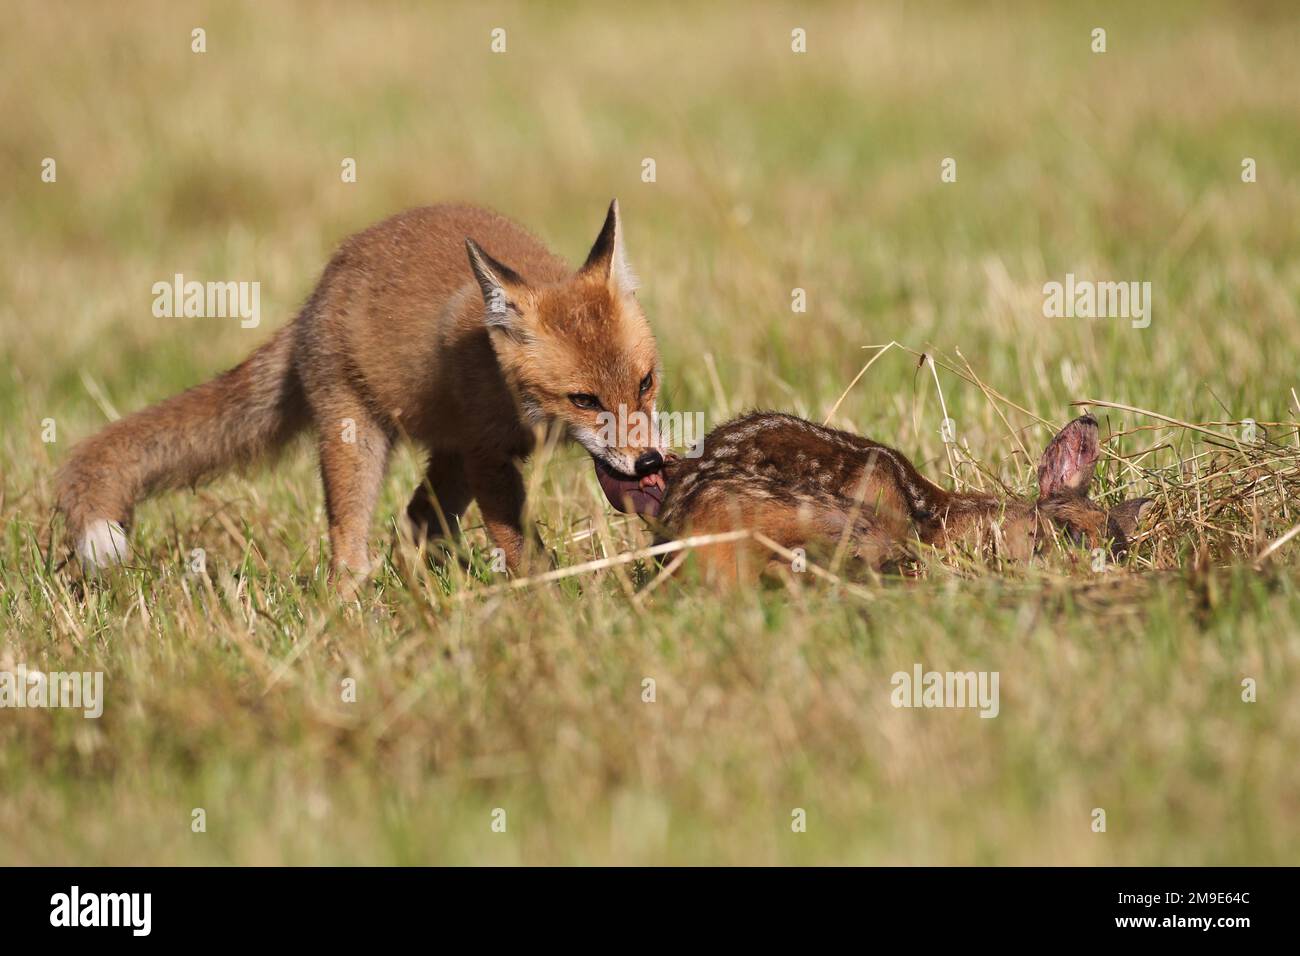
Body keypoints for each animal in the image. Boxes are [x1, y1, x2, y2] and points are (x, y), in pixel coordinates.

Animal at [55, 200, 669, 582]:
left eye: (645, 382)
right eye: (584, 400)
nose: (648, 463)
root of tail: (317, 295)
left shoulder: (475, 455)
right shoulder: (487, 460)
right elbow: (520, 546)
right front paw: (547, 598)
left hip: (445, 461)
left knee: (413, 526)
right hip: (360, 446)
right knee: (350, 549)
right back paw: (353, 610)